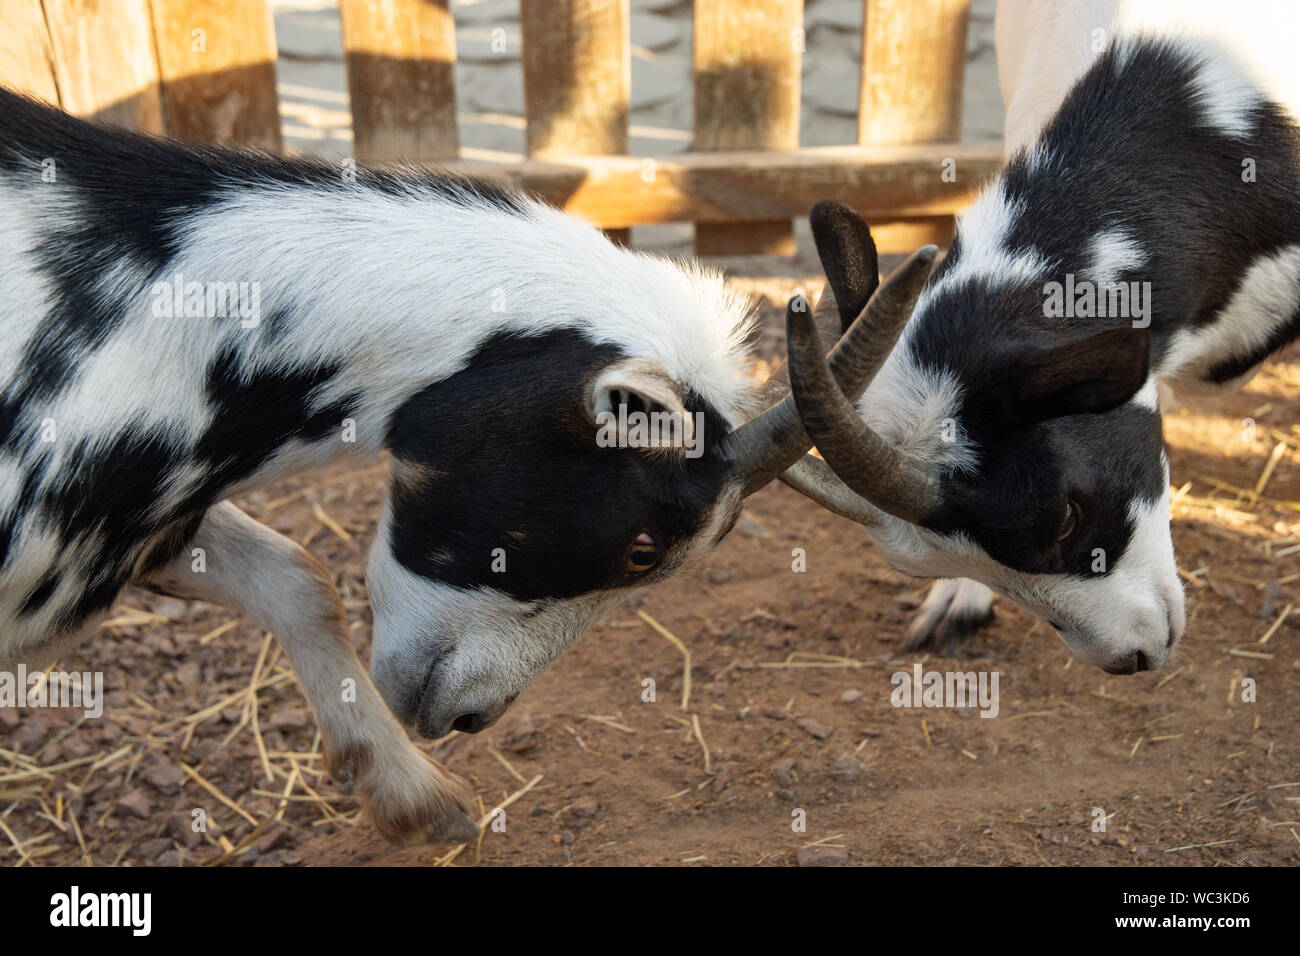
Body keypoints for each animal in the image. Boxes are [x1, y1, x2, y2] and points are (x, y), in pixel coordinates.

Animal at [0, 88, 930, 843]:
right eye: (641, 548)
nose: (470, 716)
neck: (162, 309)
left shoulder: (140, 525)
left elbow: (298, 577)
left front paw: (417, 801)